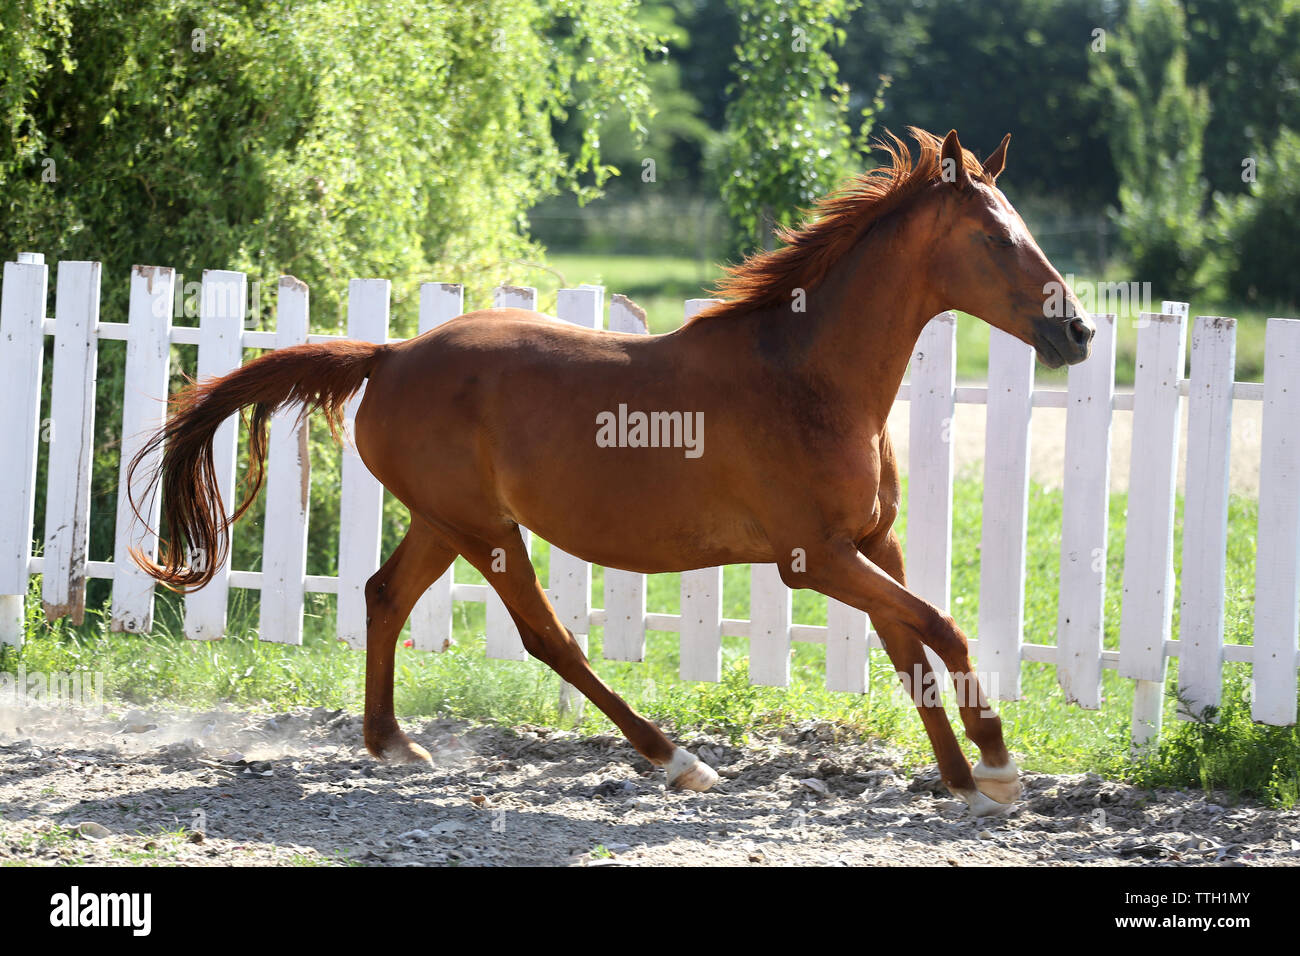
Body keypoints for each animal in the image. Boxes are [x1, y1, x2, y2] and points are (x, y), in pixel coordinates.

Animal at [129, 128, 1094, 817]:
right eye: (996, 239)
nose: (1078, 331)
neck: (807, 379)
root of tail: (390, 354)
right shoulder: (816, 559)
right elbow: (945, 630)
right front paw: (1000, 769)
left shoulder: (872, 546)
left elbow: (912, 645)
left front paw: (963, 781)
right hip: (486, 530)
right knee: (546, 637)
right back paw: (678, 760)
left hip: (444, 520)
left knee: (383, 596)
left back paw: (394, 744)